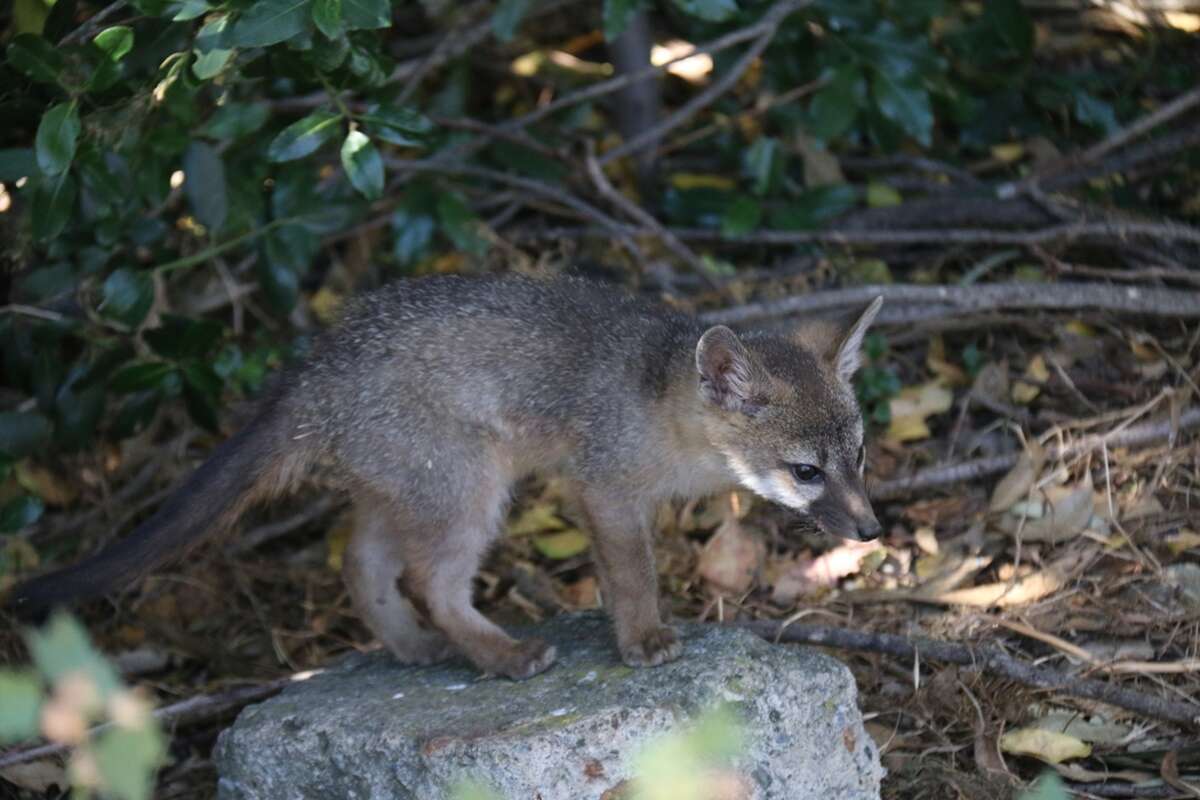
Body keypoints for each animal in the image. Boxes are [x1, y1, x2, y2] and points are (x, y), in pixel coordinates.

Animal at [9, 274, 883, 680]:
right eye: (805, 472)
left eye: (861, 456)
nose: (873, 530)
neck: (658, 392)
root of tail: (314, 369)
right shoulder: (602, 488)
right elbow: (632, 577)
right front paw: (642, 639)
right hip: (467, 497)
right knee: (431, 581)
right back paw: (501, 655)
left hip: (408, 492)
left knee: (361, 563)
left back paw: (411, 648)